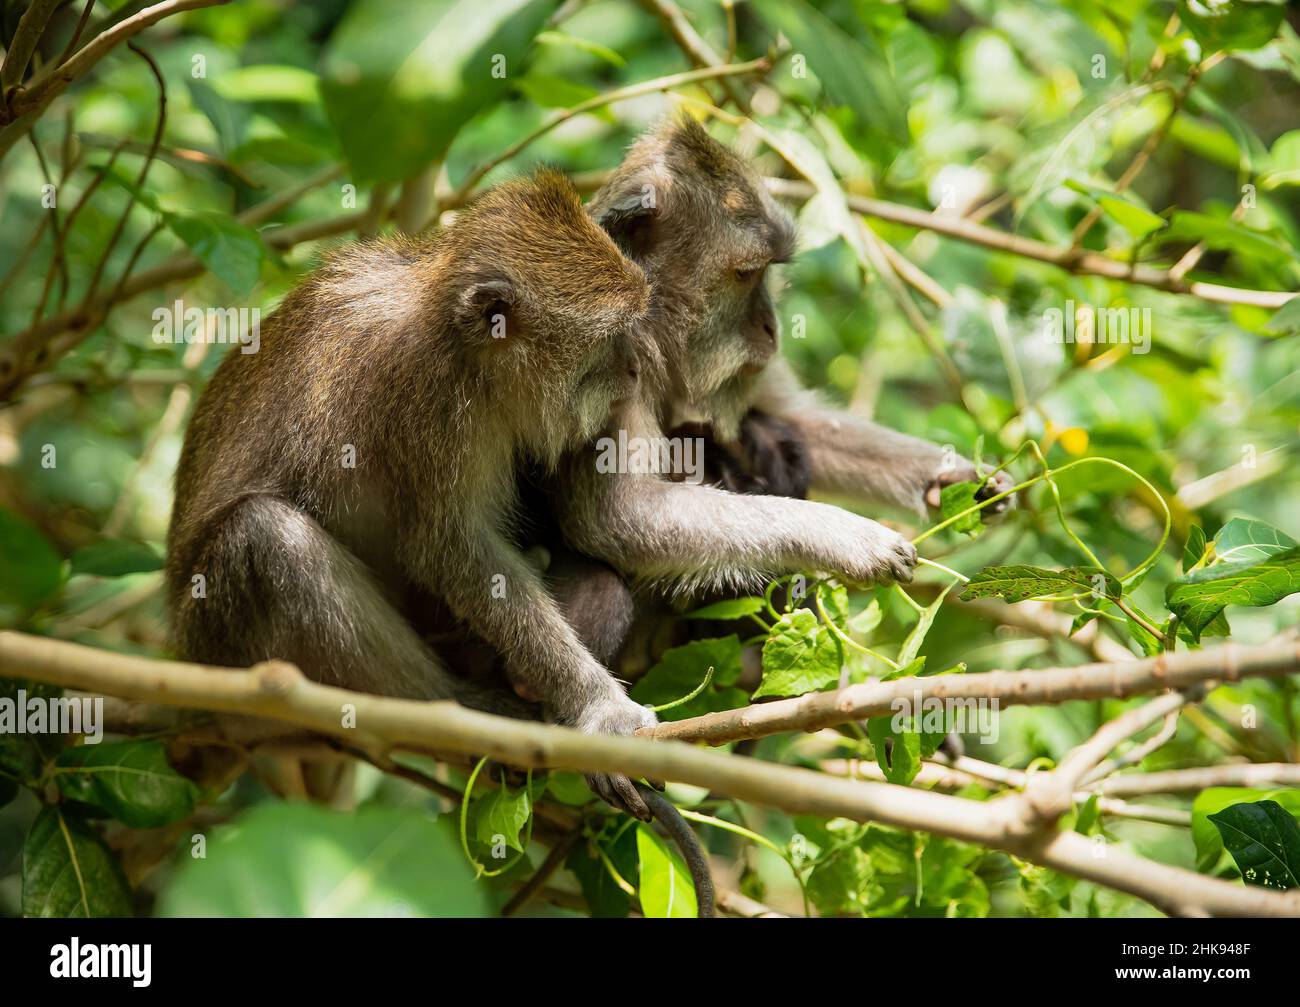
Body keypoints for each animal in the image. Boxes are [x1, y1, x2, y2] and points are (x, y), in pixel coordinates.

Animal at [165, 168, 665, 819]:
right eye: (611, 339)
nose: (636, 368)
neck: (458, 344)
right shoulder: (429, 403)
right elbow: (455, 552)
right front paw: (599, 709)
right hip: (216, 648)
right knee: (270, 539)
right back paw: (451, 704)